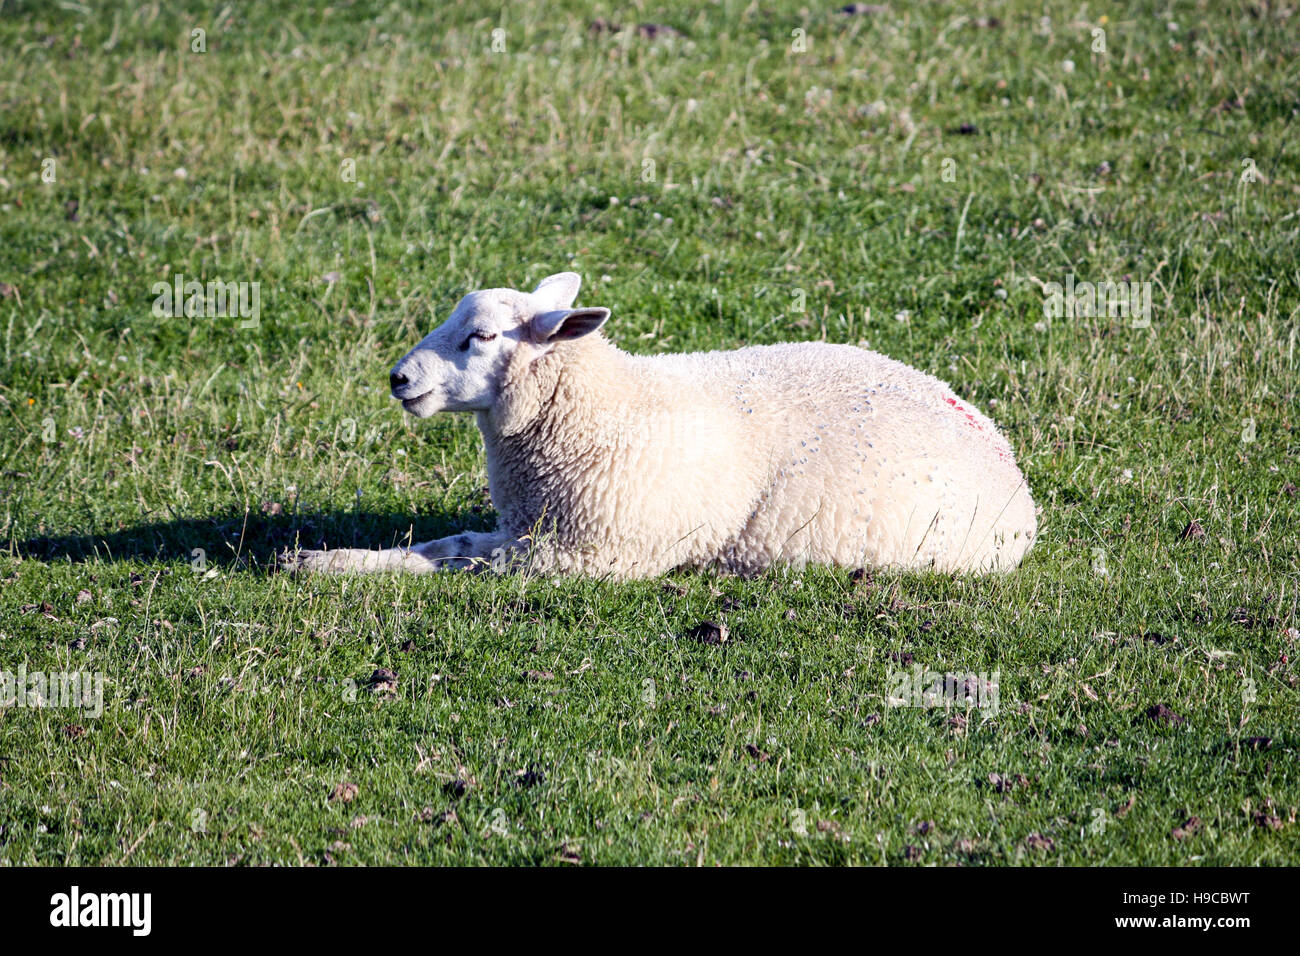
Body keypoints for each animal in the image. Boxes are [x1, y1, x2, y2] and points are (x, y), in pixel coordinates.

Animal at [287, 272, 1036, 578]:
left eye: (481, 336)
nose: (399, 379)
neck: (604, 403)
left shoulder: (584, 552)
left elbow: (451, 563)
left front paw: (335, 567)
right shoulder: (531, 529)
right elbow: (452, 543)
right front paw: (324, 558)